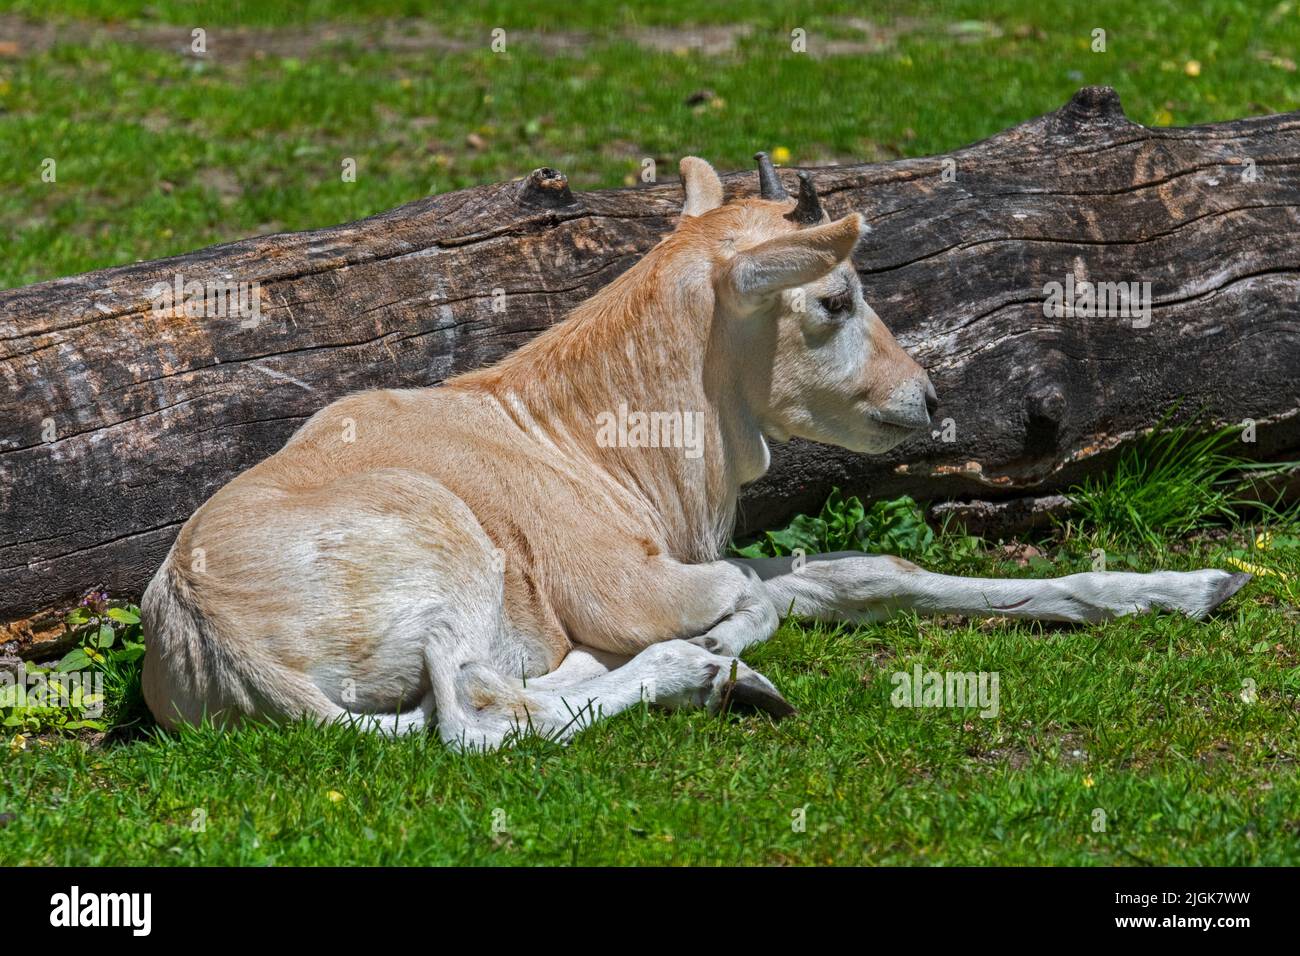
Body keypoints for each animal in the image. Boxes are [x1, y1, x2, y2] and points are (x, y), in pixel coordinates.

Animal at [141, 154, 1251, 749]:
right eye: (833, 297)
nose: (926, 397)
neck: (572, 434)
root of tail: (210, 630)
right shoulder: (644, 585)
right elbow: (751, 599)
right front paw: (720, 648)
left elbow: (865, 572)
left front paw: (1193, 587)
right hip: (452, 558)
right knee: (474, 717)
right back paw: (703, 671)